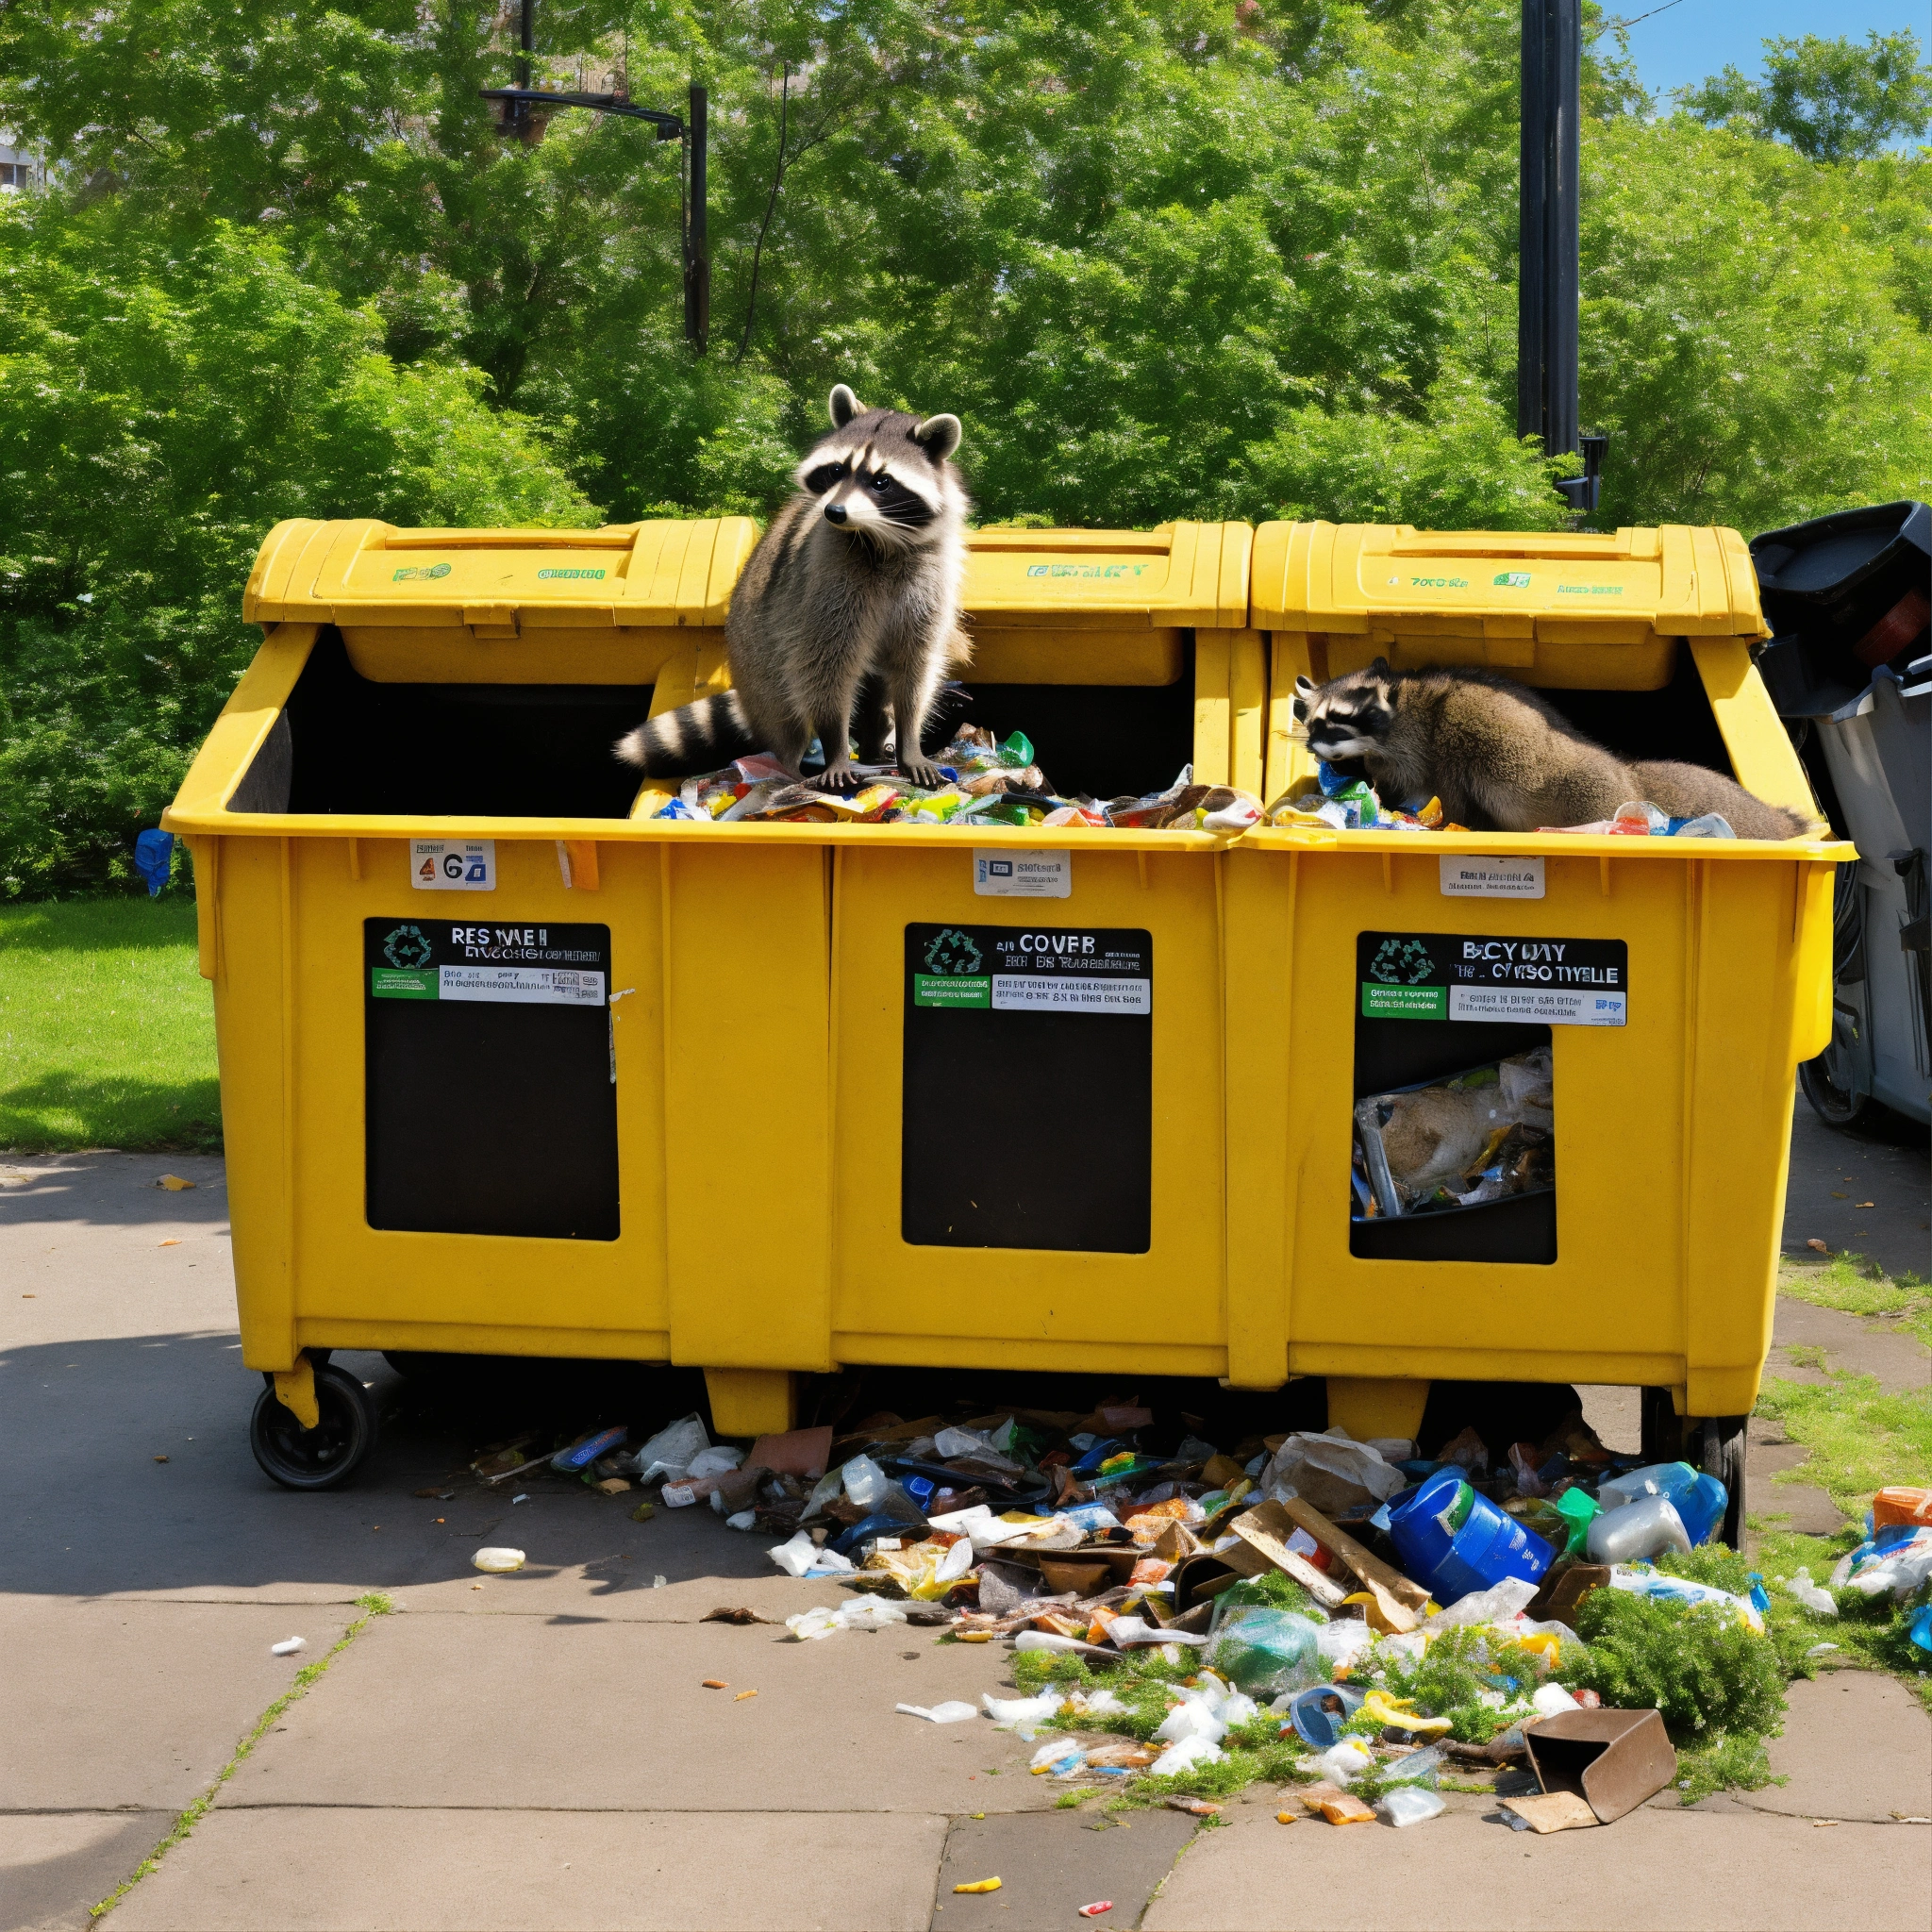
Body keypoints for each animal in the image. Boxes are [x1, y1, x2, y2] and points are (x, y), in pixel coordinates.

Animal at [616, 385, 971, 791]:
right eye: (837, 470)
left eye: (882, 482)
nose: (834, 512)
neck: (876, 539)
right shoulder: (823, 582)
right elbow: (824, 668)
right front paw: (835, 746)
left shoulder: (928, 580)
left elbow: (914, 667)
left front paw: (909, 740)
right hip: (759, 662)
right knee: (787, 718)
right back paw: (788, 770)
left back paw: (874, 747)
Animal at [1292, 662, 1806, 839]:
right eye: (1312, 720)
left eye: (1342, 719)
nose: (1315, 746)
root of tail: (1629, 778)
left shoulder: (1436, 740)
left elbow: (1441, 789)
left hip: (1558, 776)